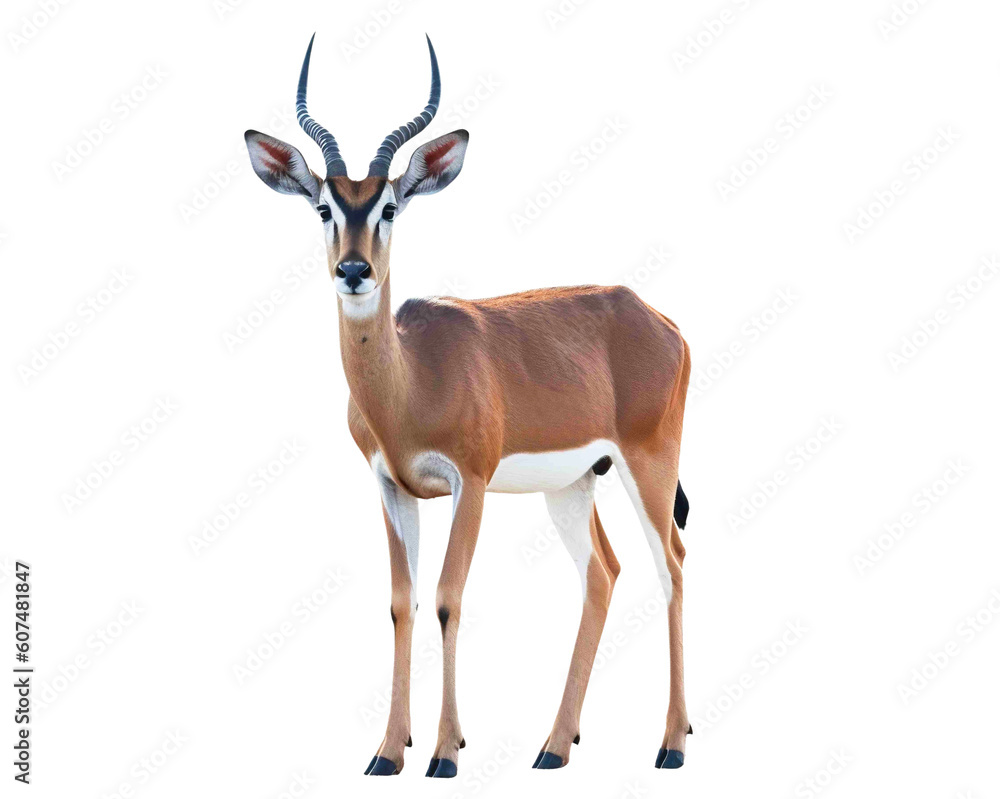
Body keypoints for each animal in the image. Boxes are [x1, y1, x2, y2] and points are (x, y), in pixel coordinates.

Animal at [244, 34, 692, 777]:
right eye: (325, 208)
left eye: (391, 207)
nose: (354, 271)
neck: (410, 382)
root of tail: (657, 317)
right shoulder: (391, 486)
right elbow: (402, 602)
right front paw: (387, 752)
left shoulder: (470, 482)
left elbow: (450, 599)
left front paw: (445, 752)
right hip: (572, 485)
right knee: (603, 574)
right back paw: (553, 746)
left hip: (649, 464)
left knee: (673, 565)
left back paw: (671, 744)